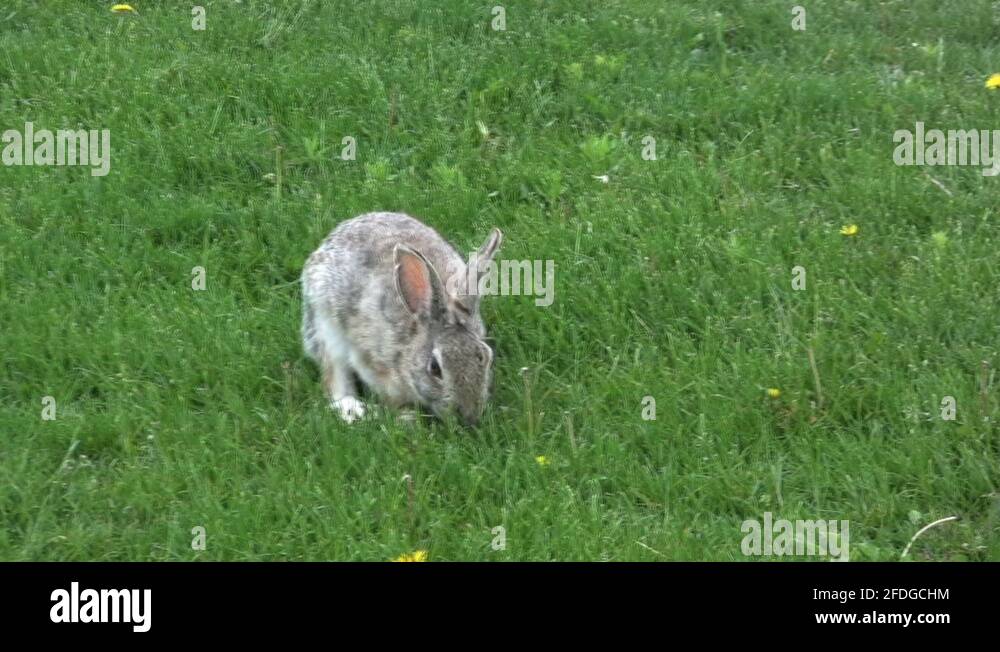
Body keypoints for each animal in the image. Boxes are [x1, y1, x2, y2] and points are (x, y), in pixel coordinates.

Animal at [301, 211, 502, 426]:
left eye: (485, 356)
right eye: (435, 368)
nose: (468, 416)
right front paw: (406, 416)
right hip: (325, 328)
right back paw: (352, 409)